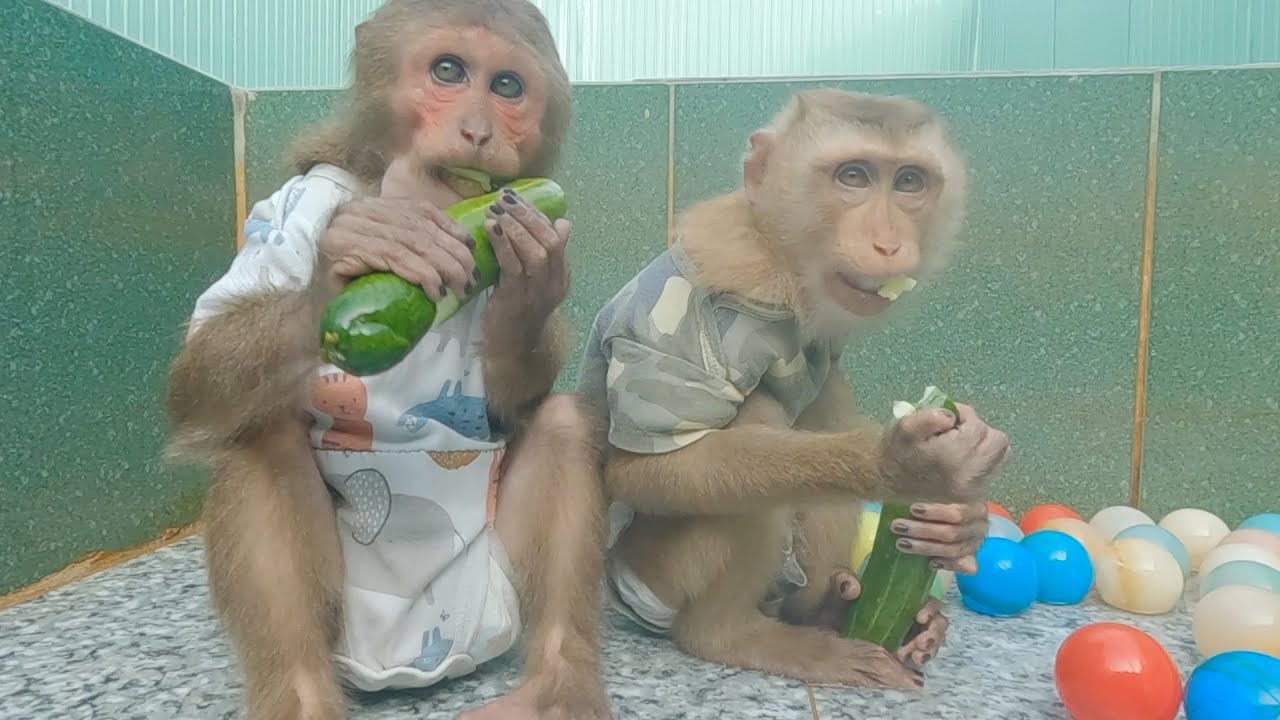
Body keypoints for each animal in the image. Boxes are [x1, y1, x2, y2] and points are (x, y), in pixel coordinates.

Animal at [164, 2, 611, 719]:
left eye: (507, 87)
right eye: (449, 72)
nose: (478, 130)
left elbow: (512, 402)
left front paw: (528, 286)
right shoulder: (298, 200)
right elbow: (199, 369)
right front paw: (349, 247)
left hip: (495, 600)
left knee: (565, 423)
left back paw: (555, 689)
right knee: (256, 435)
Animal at [575, 88, 1010, 689]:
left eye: (909, 182)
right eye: (853, 176)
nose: (888, 243)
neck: (782, 260)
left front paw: (961, 525)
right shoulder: (695, 319)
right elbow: (649, 471)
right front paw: (905, 466)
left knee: (822, 415)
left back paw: (835, 611)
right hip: (657, 580)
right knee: (759, 429)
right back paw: (730, 634)